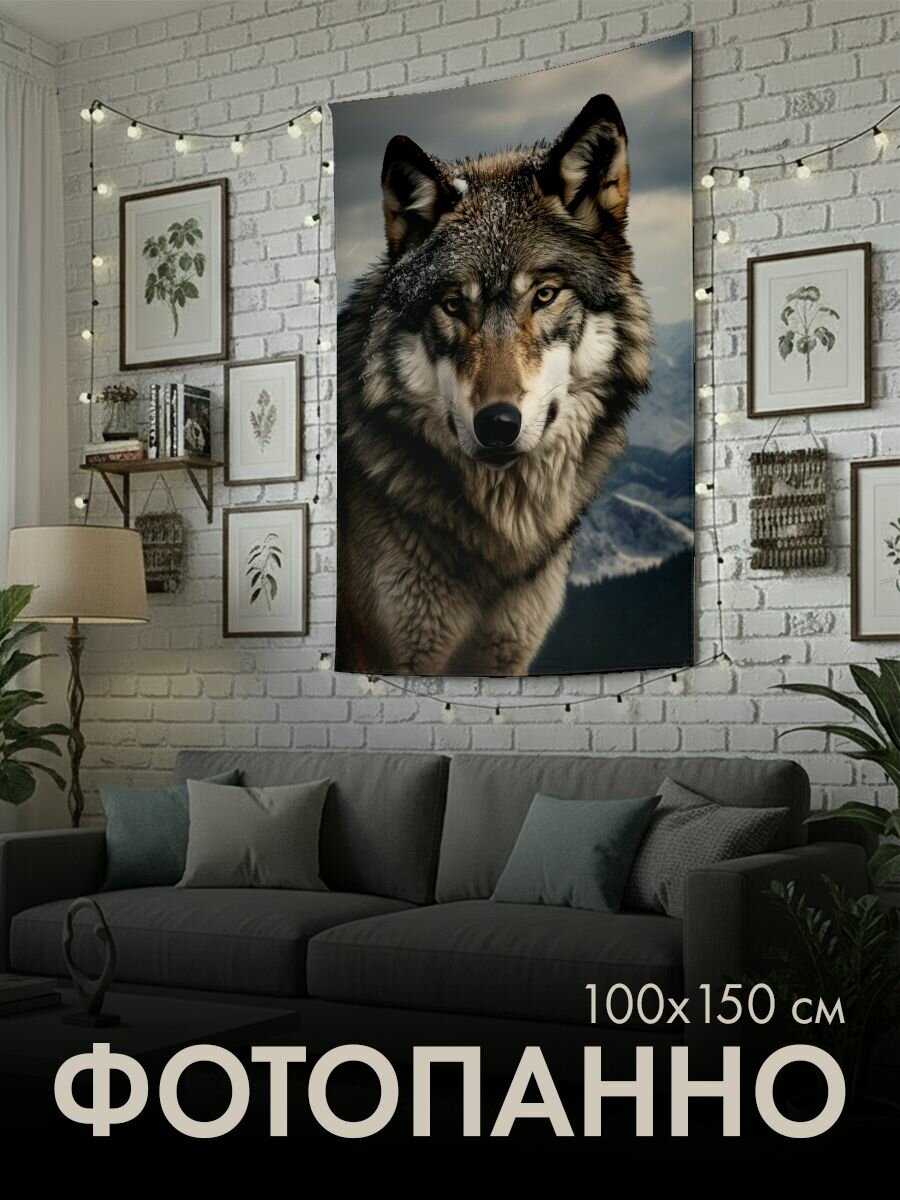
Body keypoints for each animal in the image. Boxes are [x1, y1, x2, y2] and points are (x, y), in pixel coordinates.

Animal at [337, 94, 652, 676]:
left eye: (545, 295)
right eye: (453, 305)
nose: (498, 425)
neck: (501, 535)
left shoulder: (507, 657)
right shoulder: (391, 656)